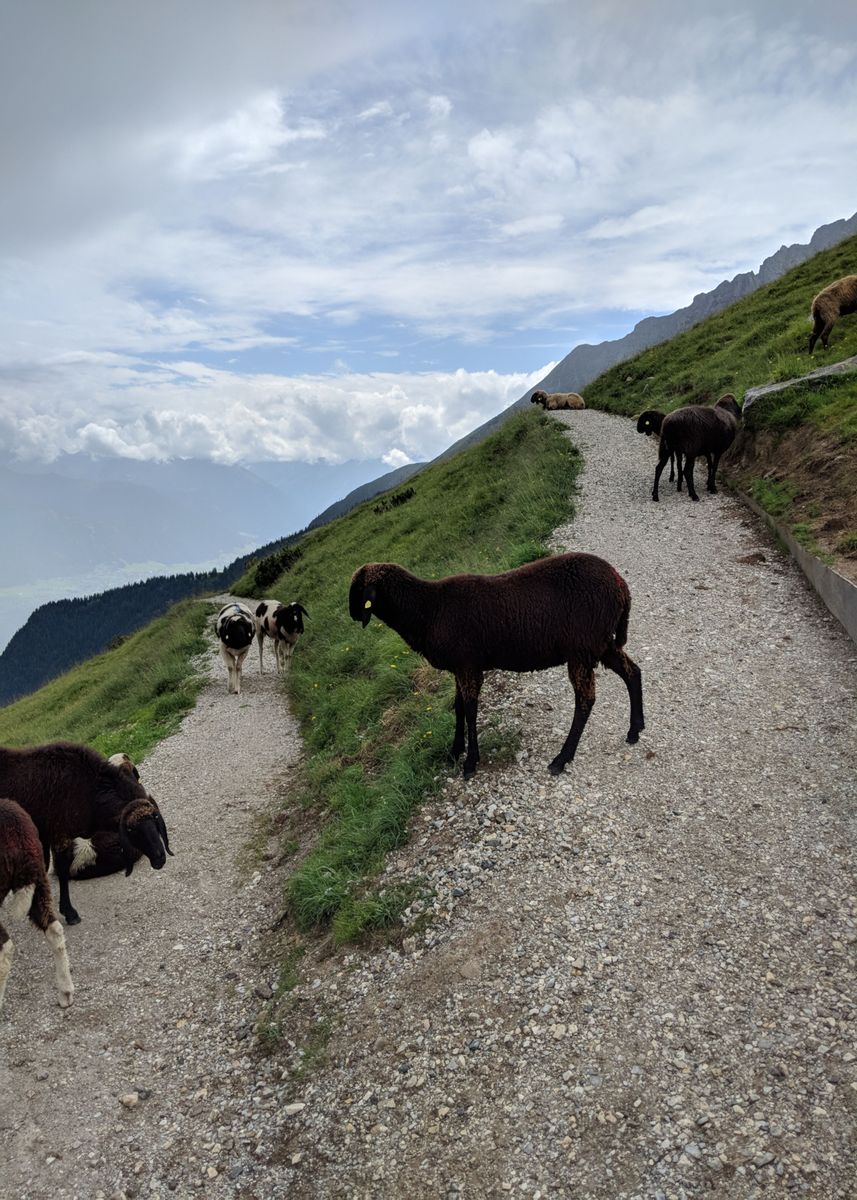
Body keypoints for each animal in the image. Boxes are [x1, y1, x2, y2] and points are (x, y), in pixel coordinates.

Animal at [0, 742, 172, 925]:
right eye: (131, 830)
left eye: (155, 821)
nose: (160, 858)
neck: (89, 791)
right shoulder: (58, 834)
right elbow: (60, 870)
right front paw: (69, 913)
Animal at [349, 554, 644, 779]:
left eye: (359, 591)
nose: (352, 615)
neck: (428, 609)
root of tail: (621, 585)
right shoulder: (460, 667)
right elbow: (458, 708)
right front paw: (454, 751)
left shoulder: (468, 666)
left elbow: (470, 710)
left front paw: (470, 763)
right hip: (600, 643)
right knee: (632, 672)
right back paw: (635, 729)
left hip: (582, 648)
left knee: (585, 699)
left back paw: (562, 758)